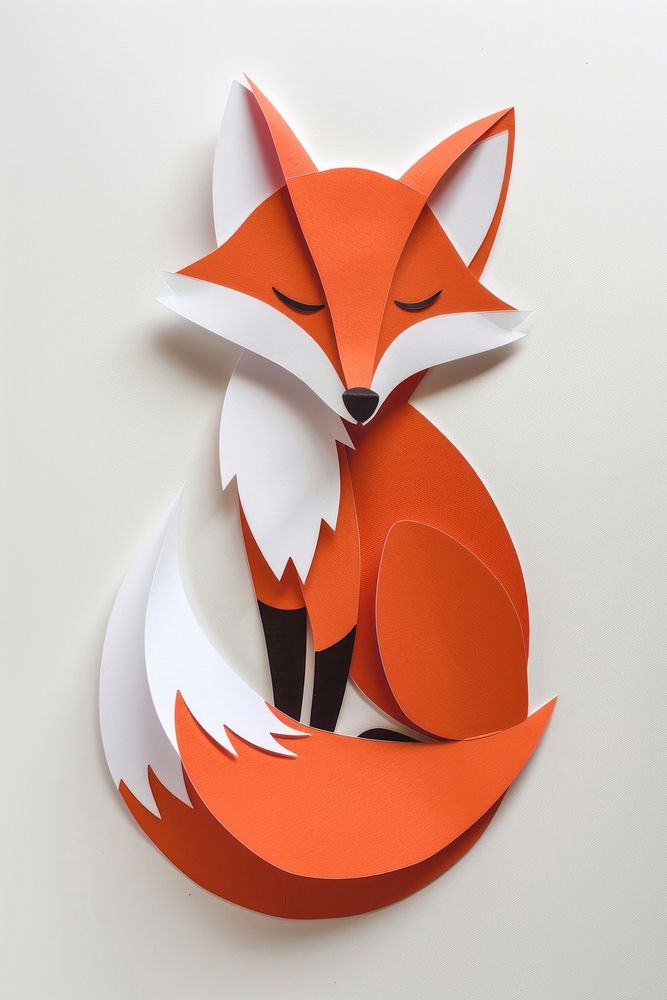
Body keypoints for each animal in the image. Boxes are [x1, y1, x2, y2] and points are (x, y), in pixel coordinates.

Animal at [100, 78, 553, 917]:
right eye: (298, 299)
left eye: (415, 301)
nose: (362, 400)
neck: (290, 464)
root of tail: (523, 687)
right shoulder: (269, 567)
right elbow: (284, 671)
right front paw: (290, 736)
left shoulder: (340, 569)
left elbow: (325, 674)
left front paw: (319, 748)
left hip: (408, 555)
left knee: (472, 741)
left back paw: (394, 751)